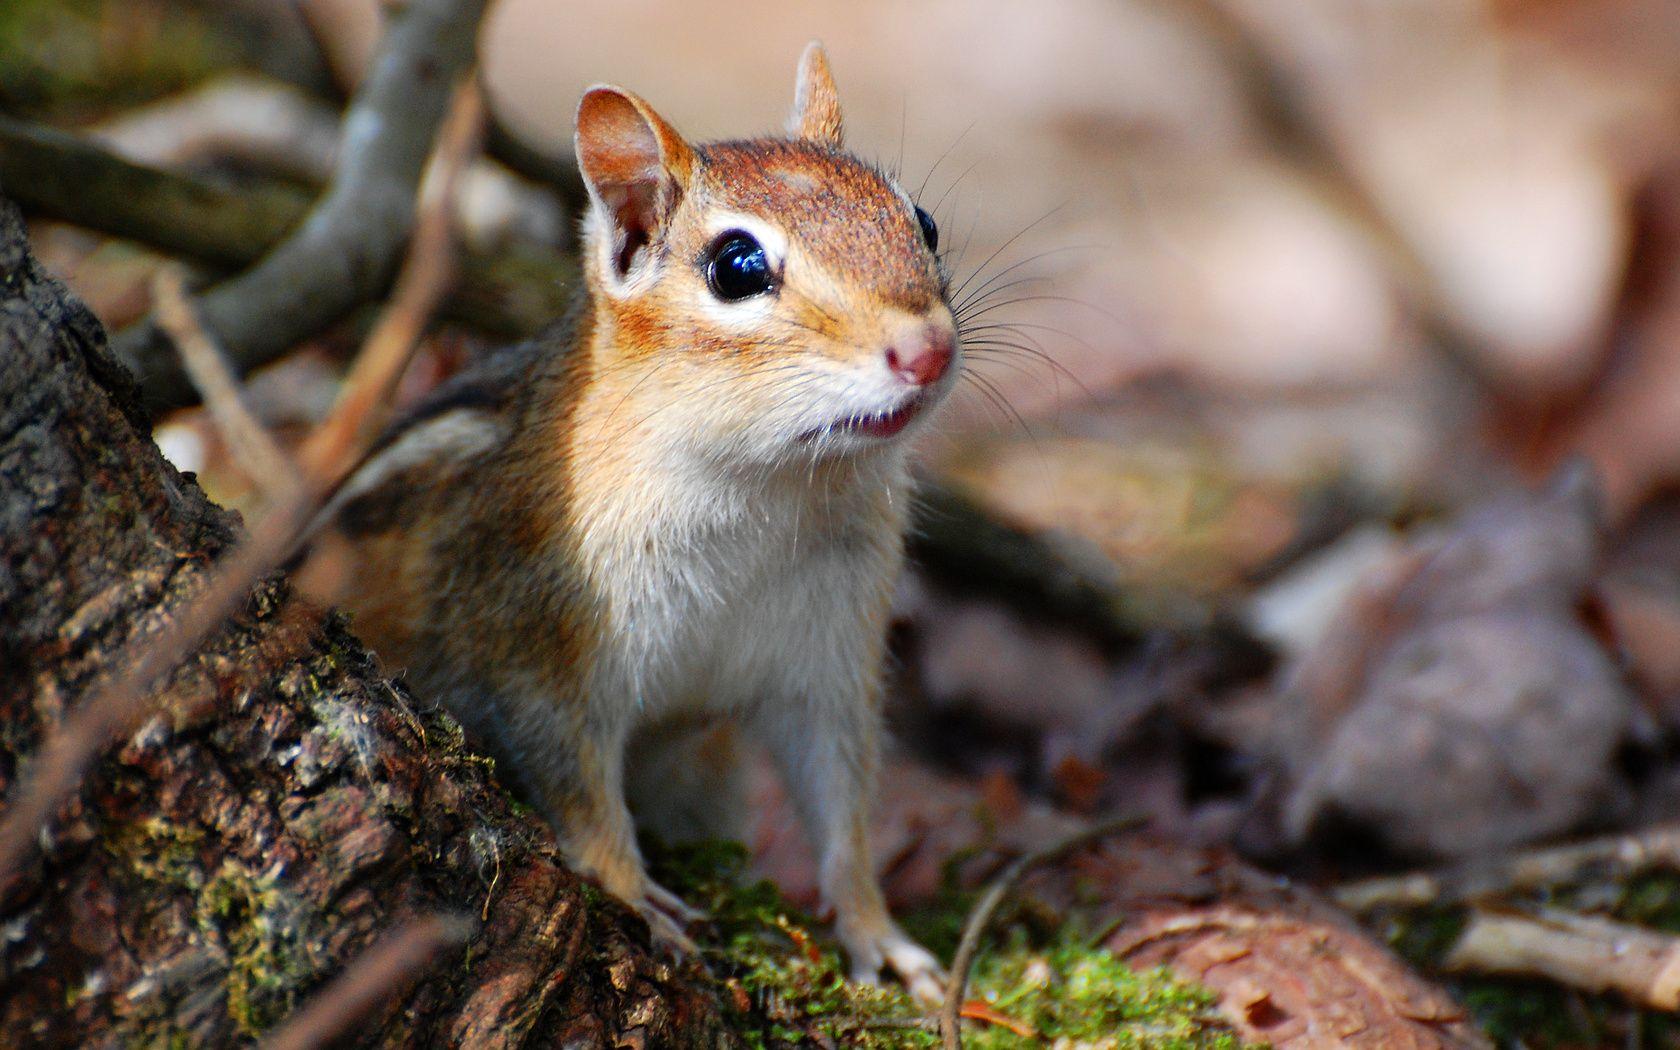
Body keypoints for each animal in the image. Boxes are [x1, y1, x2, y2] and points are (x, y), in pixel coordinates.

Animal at [318, 43, 956, 1000]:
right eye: (737, 266)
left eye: (925, 221)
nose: (930, 351)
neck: (768, 490)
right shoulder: (542, 640)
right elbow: (575, 781)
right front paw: (632, 891)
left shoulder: (829, 660)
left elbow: (841, 799)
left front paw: (880, 933)